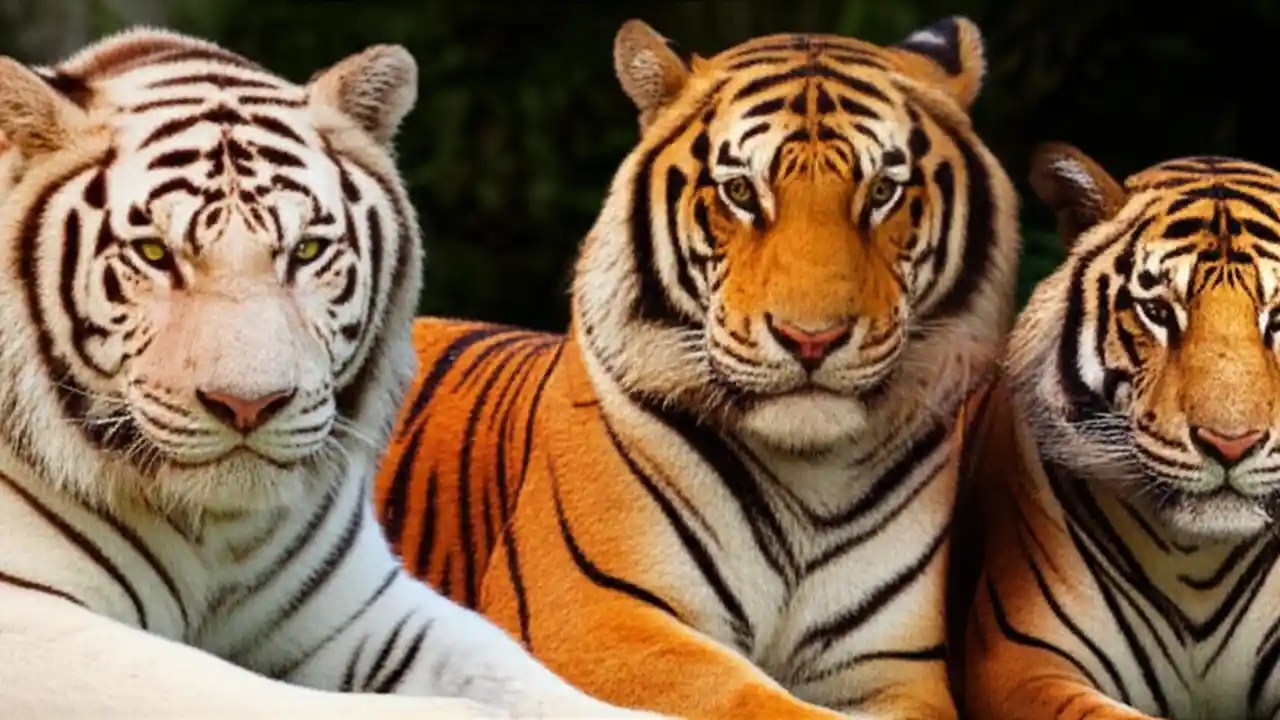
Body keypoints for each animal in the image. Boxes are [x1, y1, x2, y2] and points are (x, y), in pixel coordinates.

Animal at [0, 27, 666, 720]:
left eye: (308, 251)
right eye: (155, 254)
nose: (248, 404)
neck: (218, 532)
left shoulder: (362, 611)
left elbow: (520, 675)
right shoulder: (25, 620)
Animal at [375, 16, 1019, 720]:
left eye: (882, 192)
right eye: (740, 191)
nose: (811, 339)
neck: (811, 473)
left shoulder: (892, 665)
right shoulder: (588, 613)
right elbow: (751, 697)